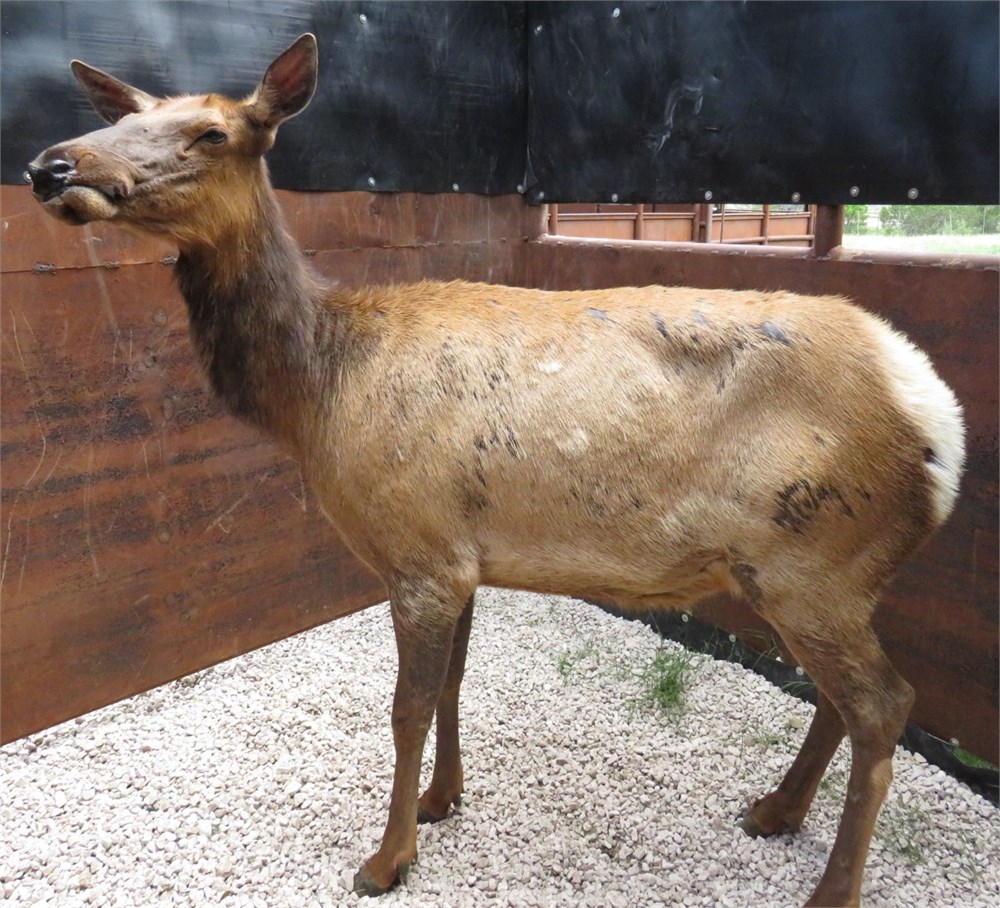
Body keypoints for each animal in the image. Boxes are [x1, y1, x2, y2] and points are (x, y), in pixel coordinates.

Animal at [26, 33, 965, 907]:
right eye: (125, 116)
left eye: (214, 131)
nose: (50, 164)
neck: (320, 391)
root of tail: (938, 417)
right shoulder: (464, 554)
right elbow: (452, 685)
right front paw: (443, 801)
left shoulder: (419, 551)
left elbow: (406, 707)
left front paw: (387, 859)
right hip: (820, 575)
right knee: (845, 699)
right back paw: (774, 811)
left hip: (817, 559)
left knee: (886, 703)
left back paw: (830, 885)